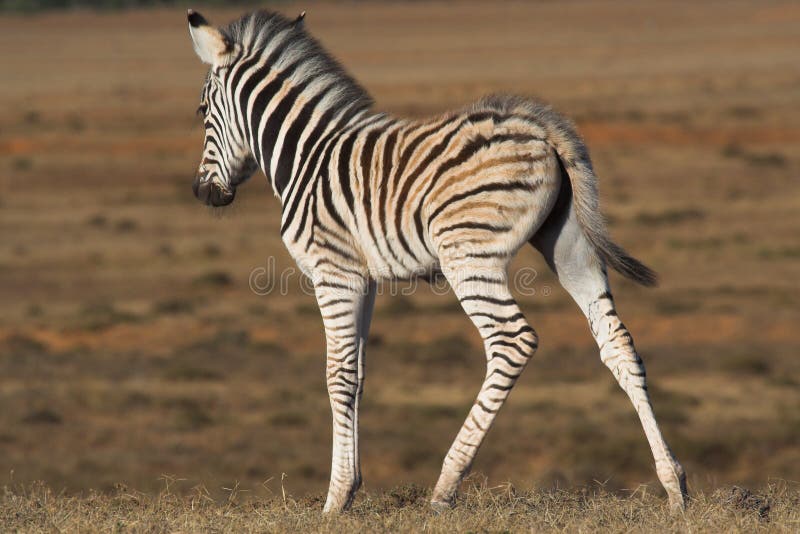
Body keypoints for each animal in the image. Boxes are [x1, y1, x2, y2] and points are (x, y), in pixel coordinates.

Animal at [186, 9, 688, 513]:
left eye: (202, 112)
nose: (203, 193)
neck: (305, 156)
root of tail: (540, 126)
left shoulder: (333, 272)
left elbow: (338, 375)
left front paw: (335, 499)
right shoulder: (364, 279)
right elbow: (359, 372)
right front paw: (352, 485)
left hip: (467, 254)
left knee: (512, 341)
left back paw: (446, 485)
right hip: (568, 244)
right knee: (617, 343)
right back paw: (674, 485)